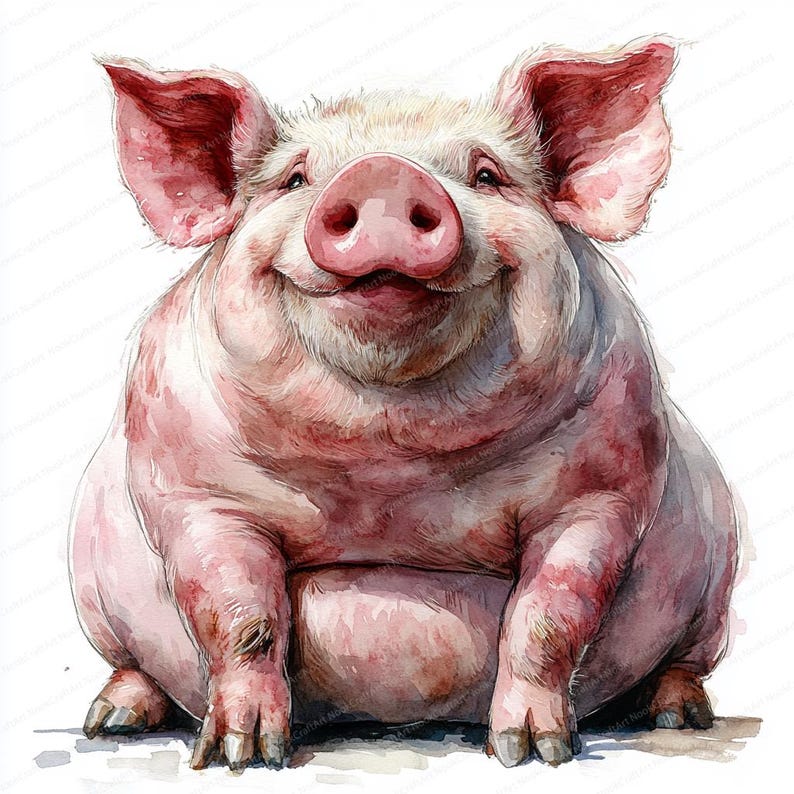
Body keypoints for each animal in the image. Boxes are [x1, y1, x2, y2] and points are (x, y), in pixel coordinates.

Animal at [69, 38, 738, 772]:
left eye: (487, 175)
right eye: (294, 180)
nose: (383, 175)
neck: (390, 467)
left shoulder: (602, 493)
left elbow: (549, 619)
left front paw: (532, 752)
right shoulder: (195, 496)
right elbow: (242, 621)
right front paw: (238, 756)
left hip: (716, 583)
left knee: (684, 660)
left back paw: (680, 716)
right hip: (94, 597)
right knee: (131, 664)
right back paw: (112, 721)